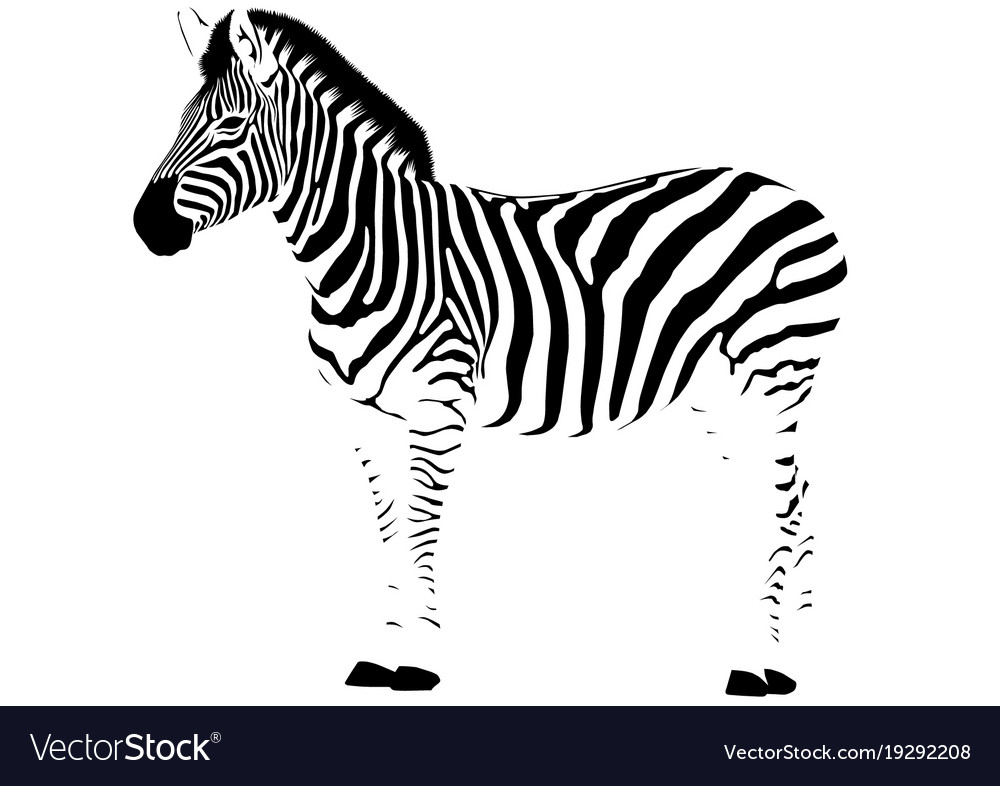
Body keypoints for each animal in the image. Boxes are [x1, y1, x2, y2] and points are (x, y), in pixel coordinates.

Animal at [134, 9, 847, 696]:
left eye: (230, 124)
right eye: (182, 118)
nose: (146, 227)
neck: (368, 255)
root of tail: (797, 197)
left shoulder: (438, 405)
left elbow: (421, 528)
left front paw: (419, 665)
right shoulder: (363, 418)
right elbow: (390, 530)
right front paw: (381, 655)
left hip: (775, 372)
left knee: (784, 511)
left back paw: (763, 668)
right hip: (723, 398)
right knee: (784, 507)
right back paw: (782, 665)